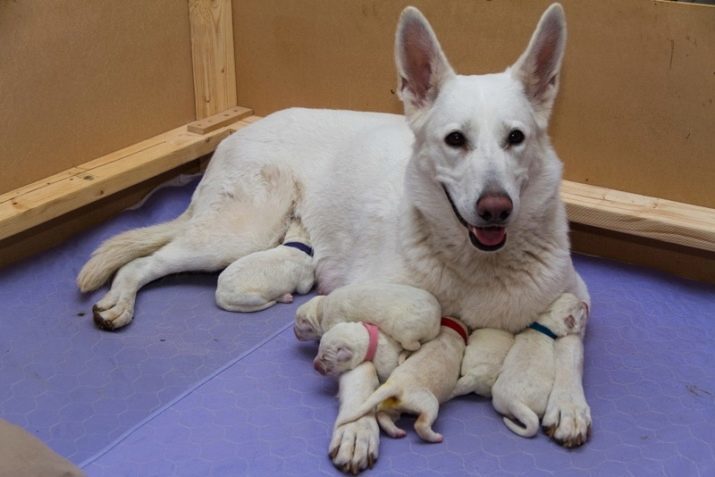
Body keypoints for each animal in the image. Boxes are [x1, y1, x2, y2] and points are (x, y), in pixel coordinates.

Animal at [292, 280, 442, 352]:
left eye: (301, 323)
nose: (294, 333)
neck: (321, 308)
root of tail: (436, 320)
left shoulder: (334, 319)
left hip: (405, 330)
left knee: (412, 344)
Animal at [336, 316, 470, 442]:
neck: (449, 332)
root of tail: (395, 385)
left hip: (391, 406)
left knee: (383, 415)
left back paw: (396, 432)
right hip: (429, 402)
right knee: (420, 424)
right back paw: (436, 437)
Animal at [492, 294, 588, 438]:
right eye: (581, 311)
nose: (585, 303)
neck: (546, 323)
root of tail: (513, 401)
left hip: (498, 402)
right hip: (540, 404)